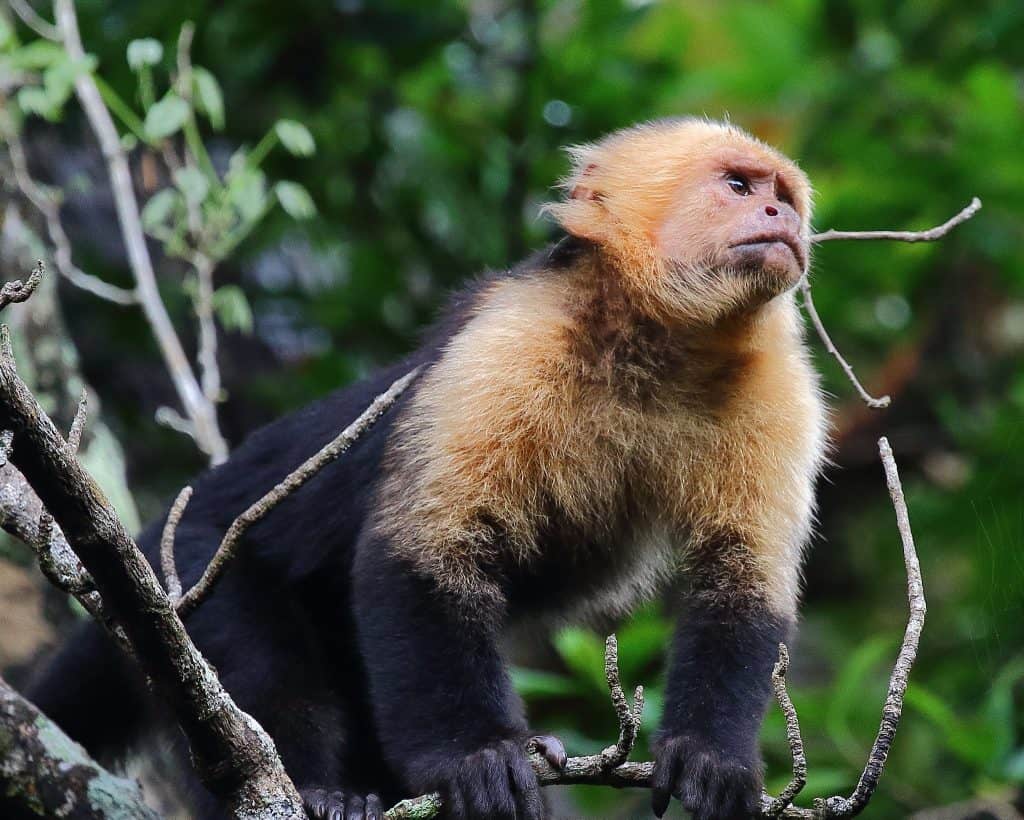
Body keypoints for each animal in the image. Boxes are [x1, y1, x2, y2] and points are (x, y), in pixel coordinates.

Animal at [24, 117, 826, 820]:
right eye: (736, 184)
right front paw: (474, 758)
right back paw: (319, 791)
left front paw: (711, 756)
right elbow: (421, 552)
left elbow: (742, 583)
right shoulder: (512, 338)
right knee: (263, 678)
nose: (777, 212)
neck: (659, 342)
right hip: (195, 572)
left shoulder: (779, 384)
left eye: (782, 193)